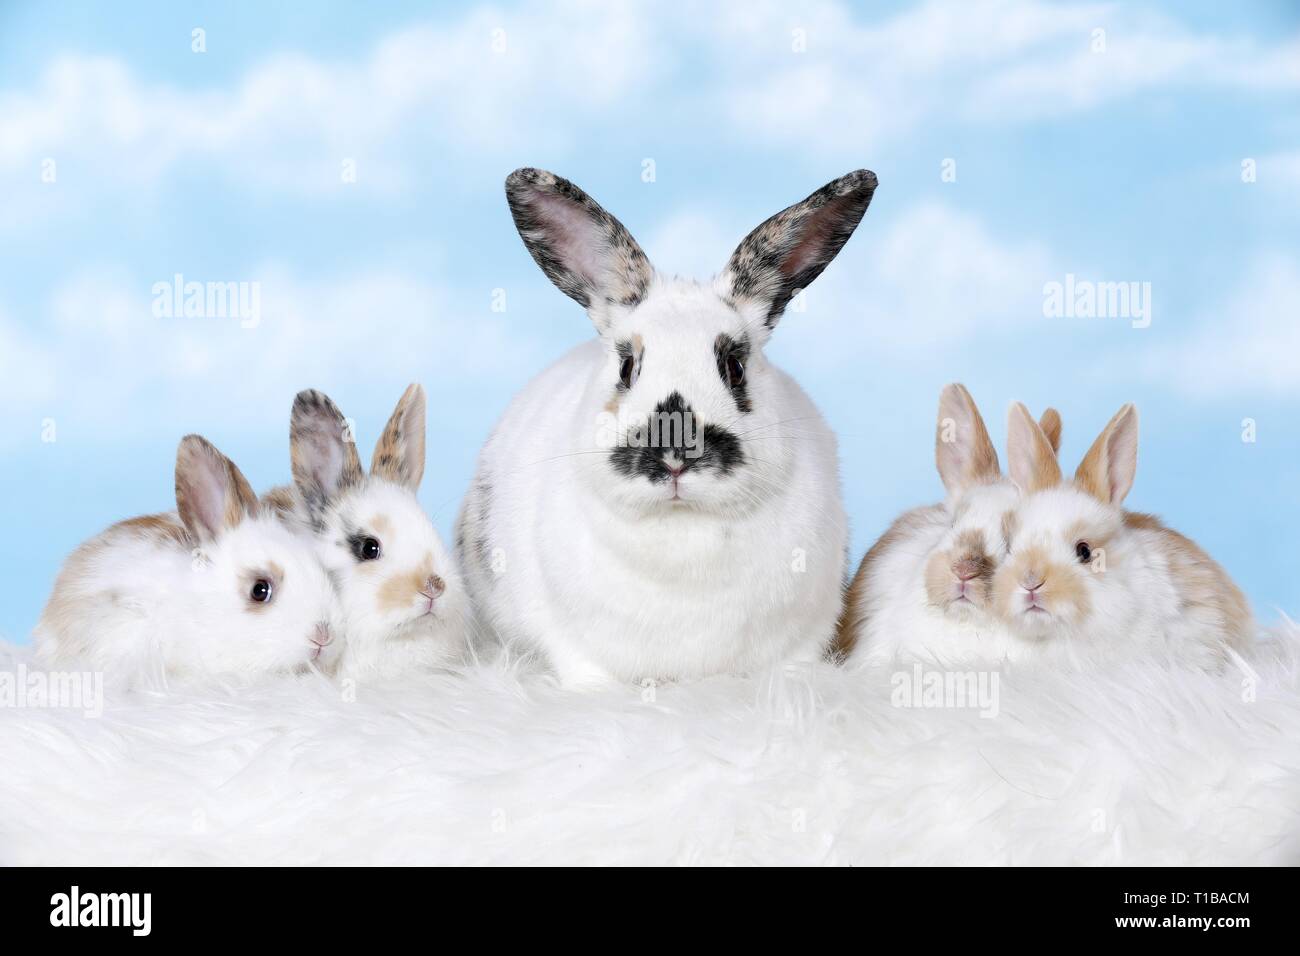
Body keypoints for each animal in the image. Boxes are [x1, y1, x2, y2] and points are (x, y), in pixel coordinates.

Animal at [456, 167, 878, 686]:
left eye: (735, 367)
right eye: (626, 367)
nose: (676, 453)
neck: (683, 530)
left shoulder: (804, 638)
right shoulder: (574, 646)